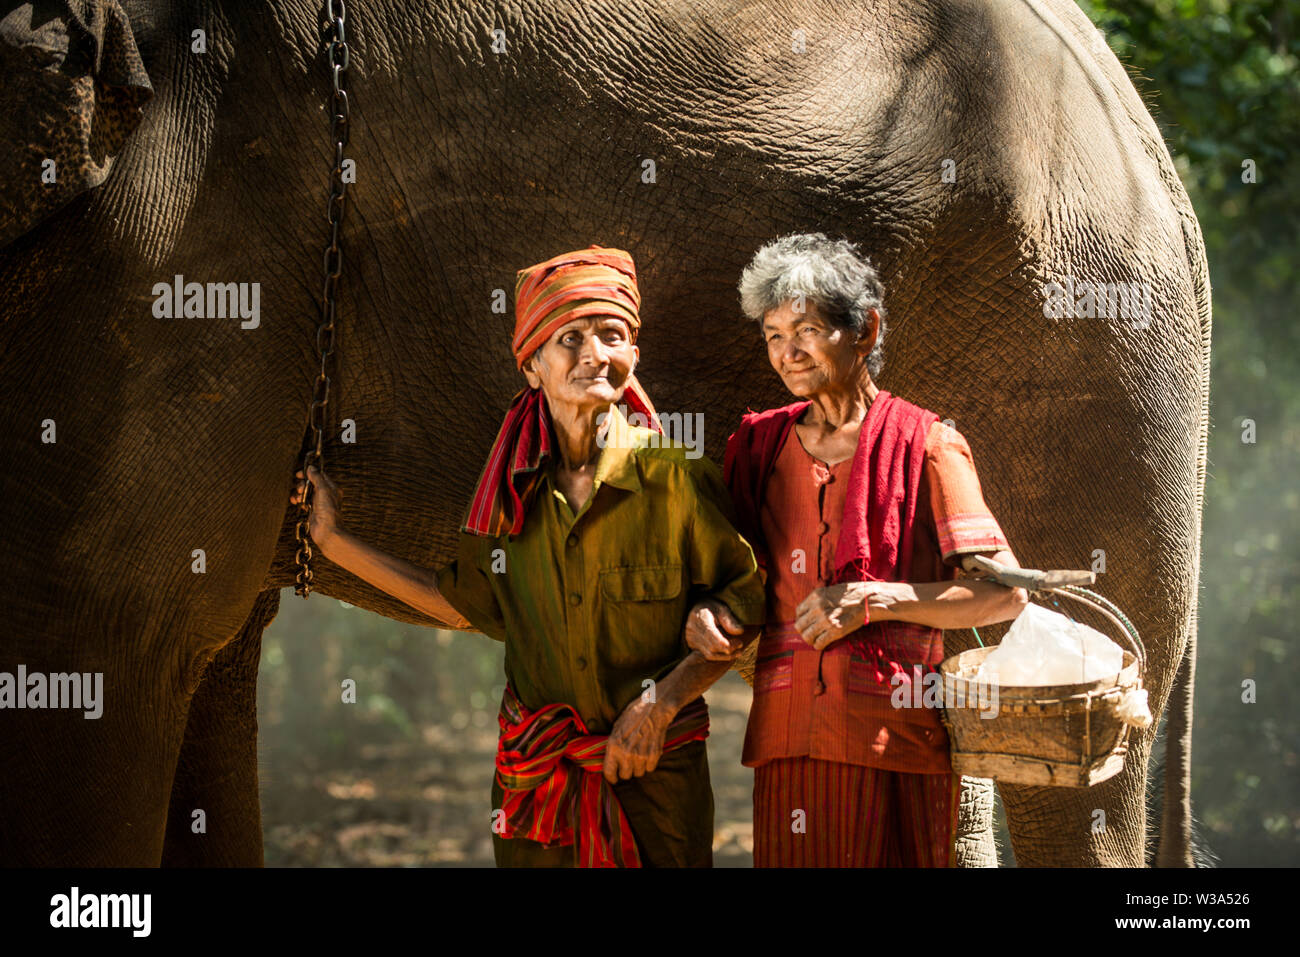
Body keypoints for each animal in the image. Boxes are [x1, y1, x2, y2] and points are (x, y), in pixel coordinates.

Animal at [0, 0, 1208, 867]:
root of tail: (1160, 161)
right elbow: (204, 650)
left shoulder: (192, 250)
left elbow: (97, 637)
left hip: (1081, 341)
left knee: (1076, 785)